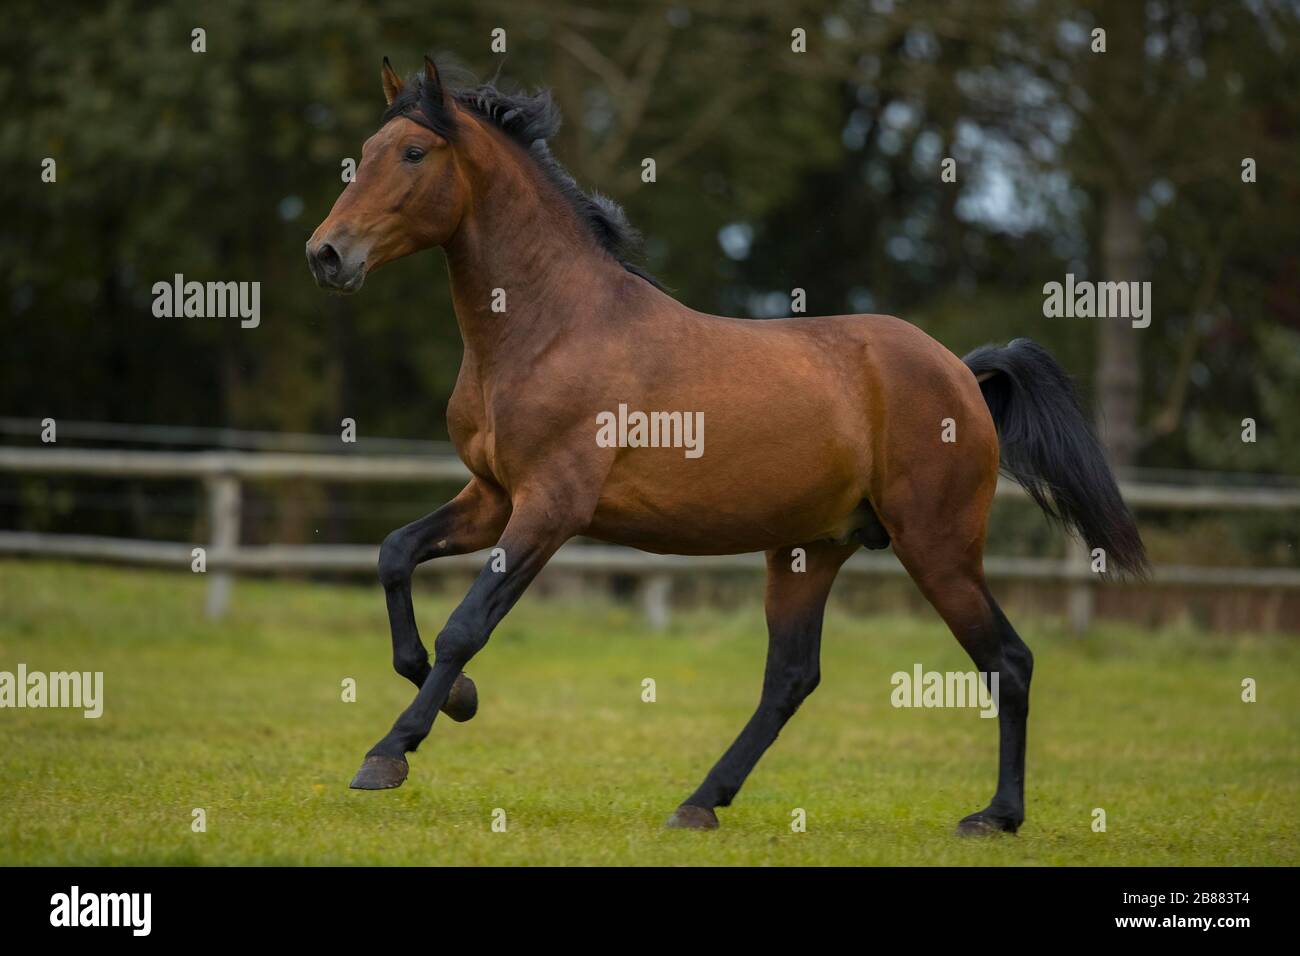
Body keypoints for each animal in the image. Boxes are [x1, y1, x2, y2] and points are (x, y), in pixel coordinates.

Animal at [306, 56, 1147, 835]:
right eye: (366, 149)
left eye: (414, 152)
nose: (326, 255)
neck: (549, 328)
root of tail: (964, 377)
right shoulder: (492, 496)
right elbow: (394, 555)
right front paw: (458, 701)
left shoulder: (549, 508)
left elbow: (466, 625)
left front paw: (389, 752)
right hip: (810, 551)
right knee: (791, 679)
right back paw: (700, 802)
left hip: (936, 547)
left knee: (1007, 661)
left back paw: (995, 815)